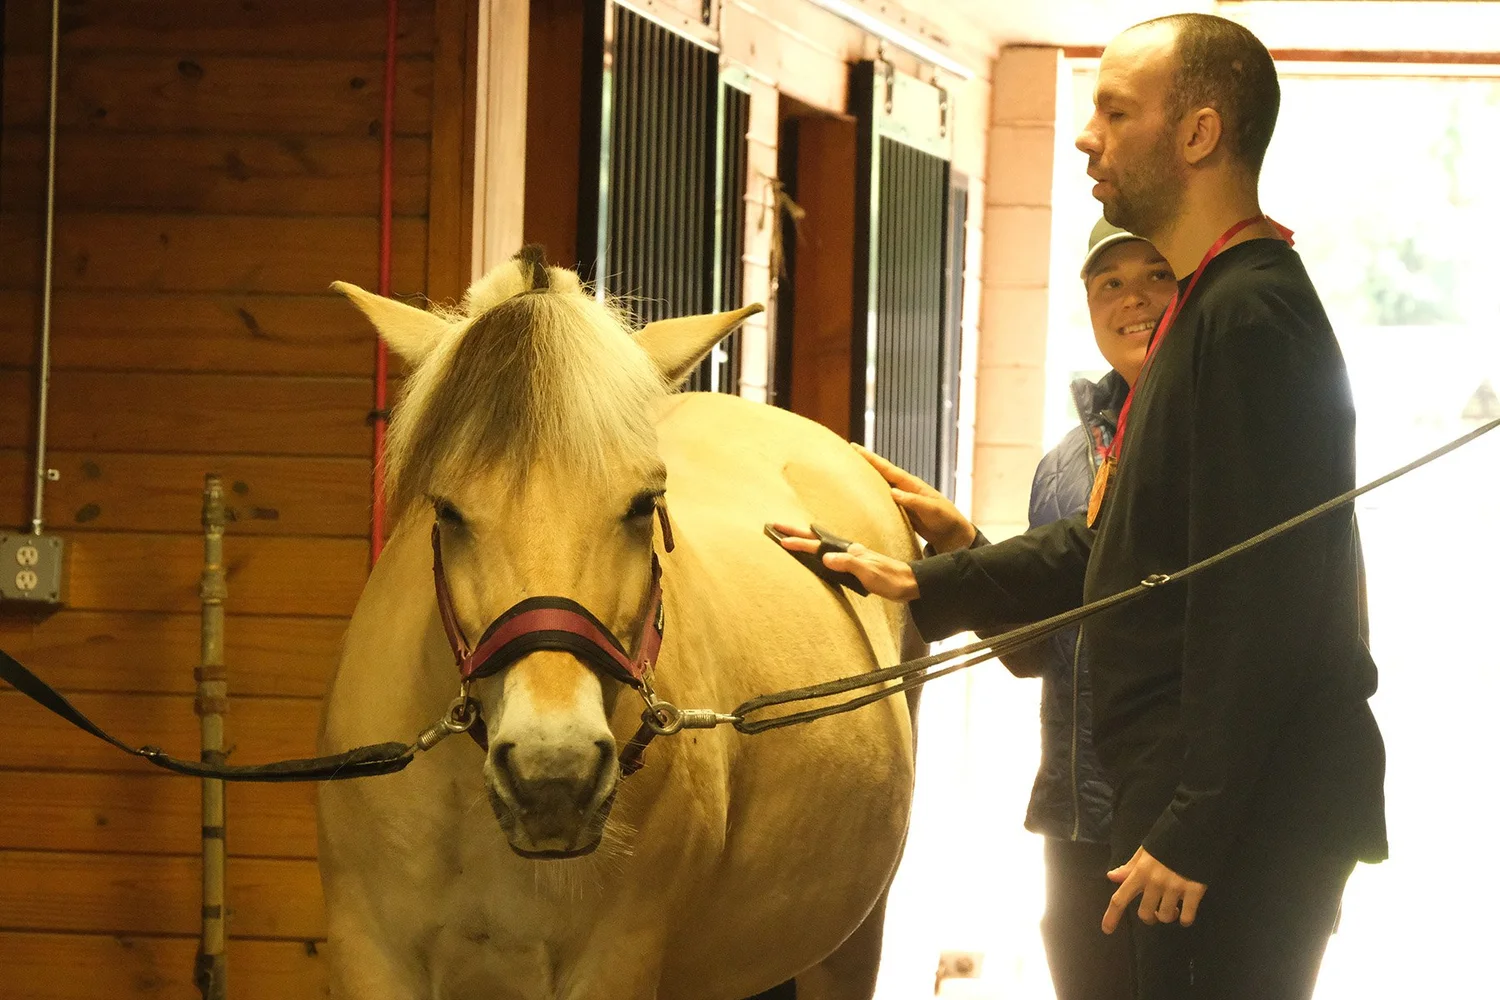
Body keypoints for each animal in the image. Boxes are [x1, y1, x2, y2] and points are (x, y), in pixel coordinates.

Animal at [317, 247, 921, 1000]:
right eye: (447, 509)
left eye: (643, 504)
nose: (553, 773)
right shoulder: (369, 954)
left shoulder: (616, 961)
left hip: (848, 944)